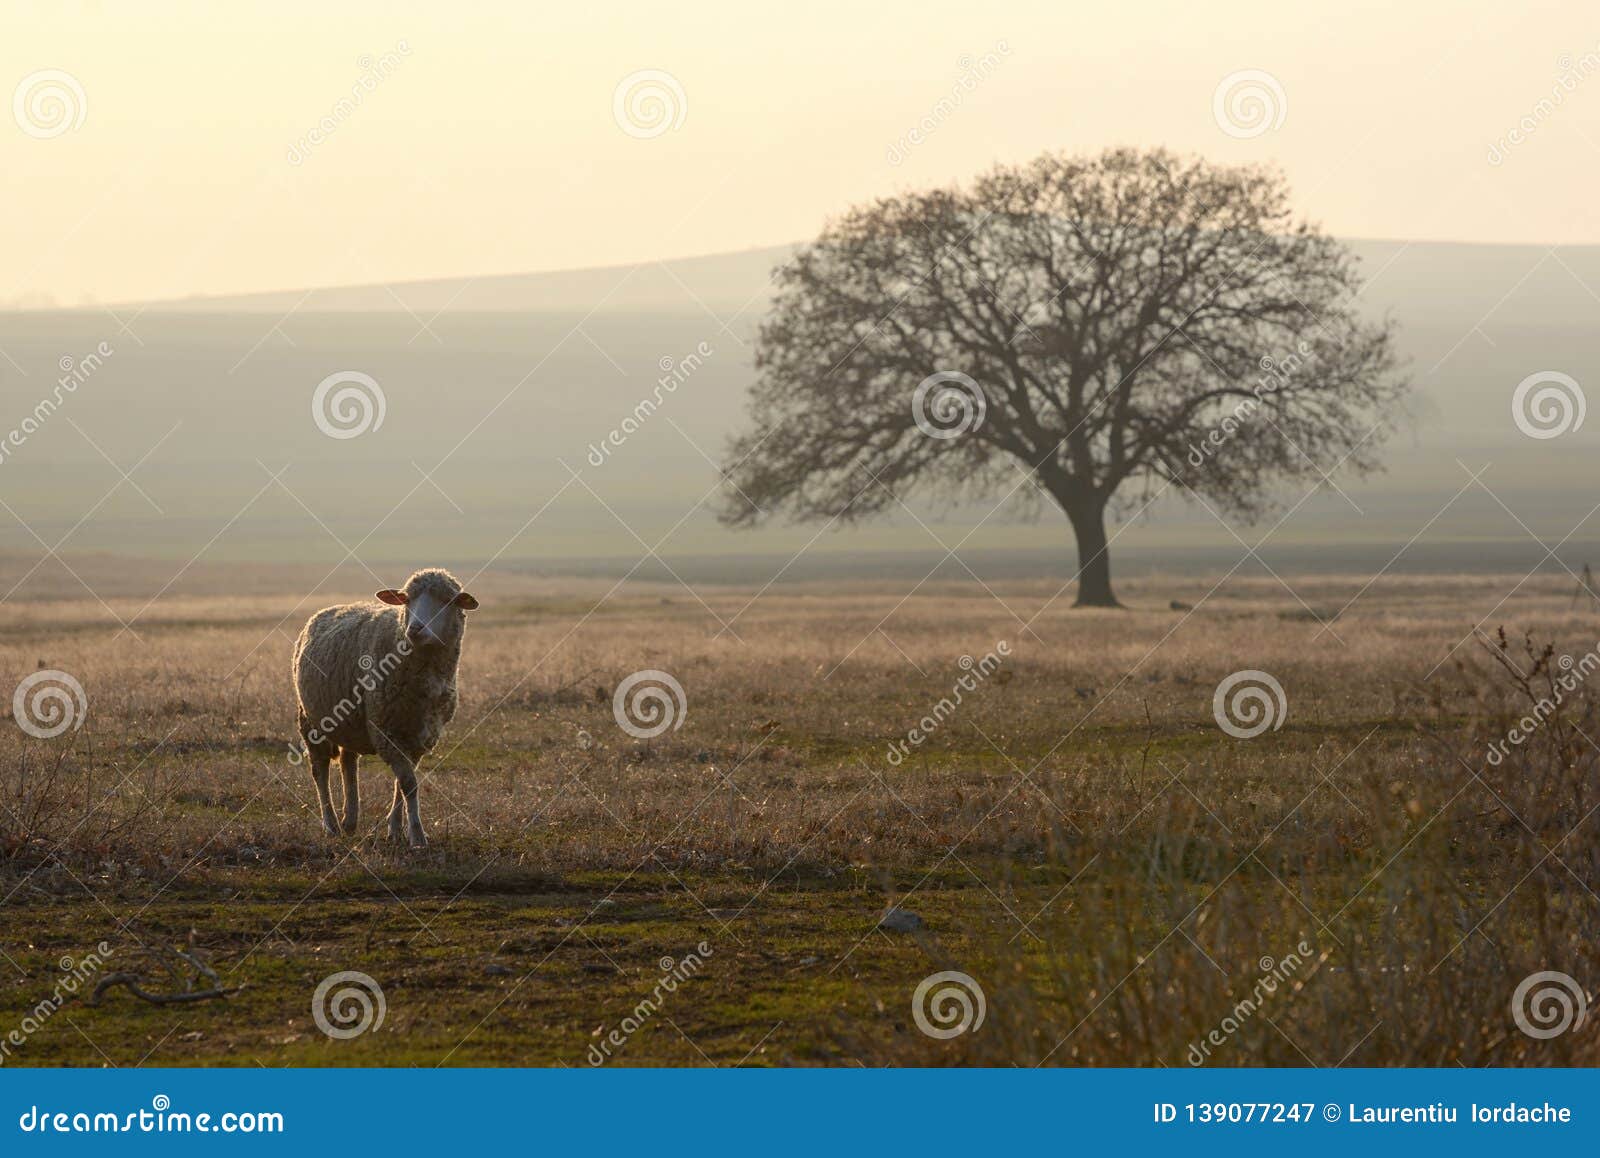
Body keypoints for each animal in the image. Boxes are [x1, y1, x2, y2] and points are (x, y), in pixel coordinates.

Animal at [291, 568, 480, 848]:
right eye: (407, 599)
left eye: (447, 601)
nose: (415, 629)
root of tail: (328, 609)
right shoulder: (385, 730)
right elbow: (408, 783)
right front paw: (417, 835)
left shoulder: (418, 735)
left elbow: (401, 784)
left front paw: (395, 829)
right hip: (312, 720)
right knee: (320, 770)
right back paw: (332, 824)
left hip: (352, 721)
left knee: (348, 762)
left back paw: (350, 819)